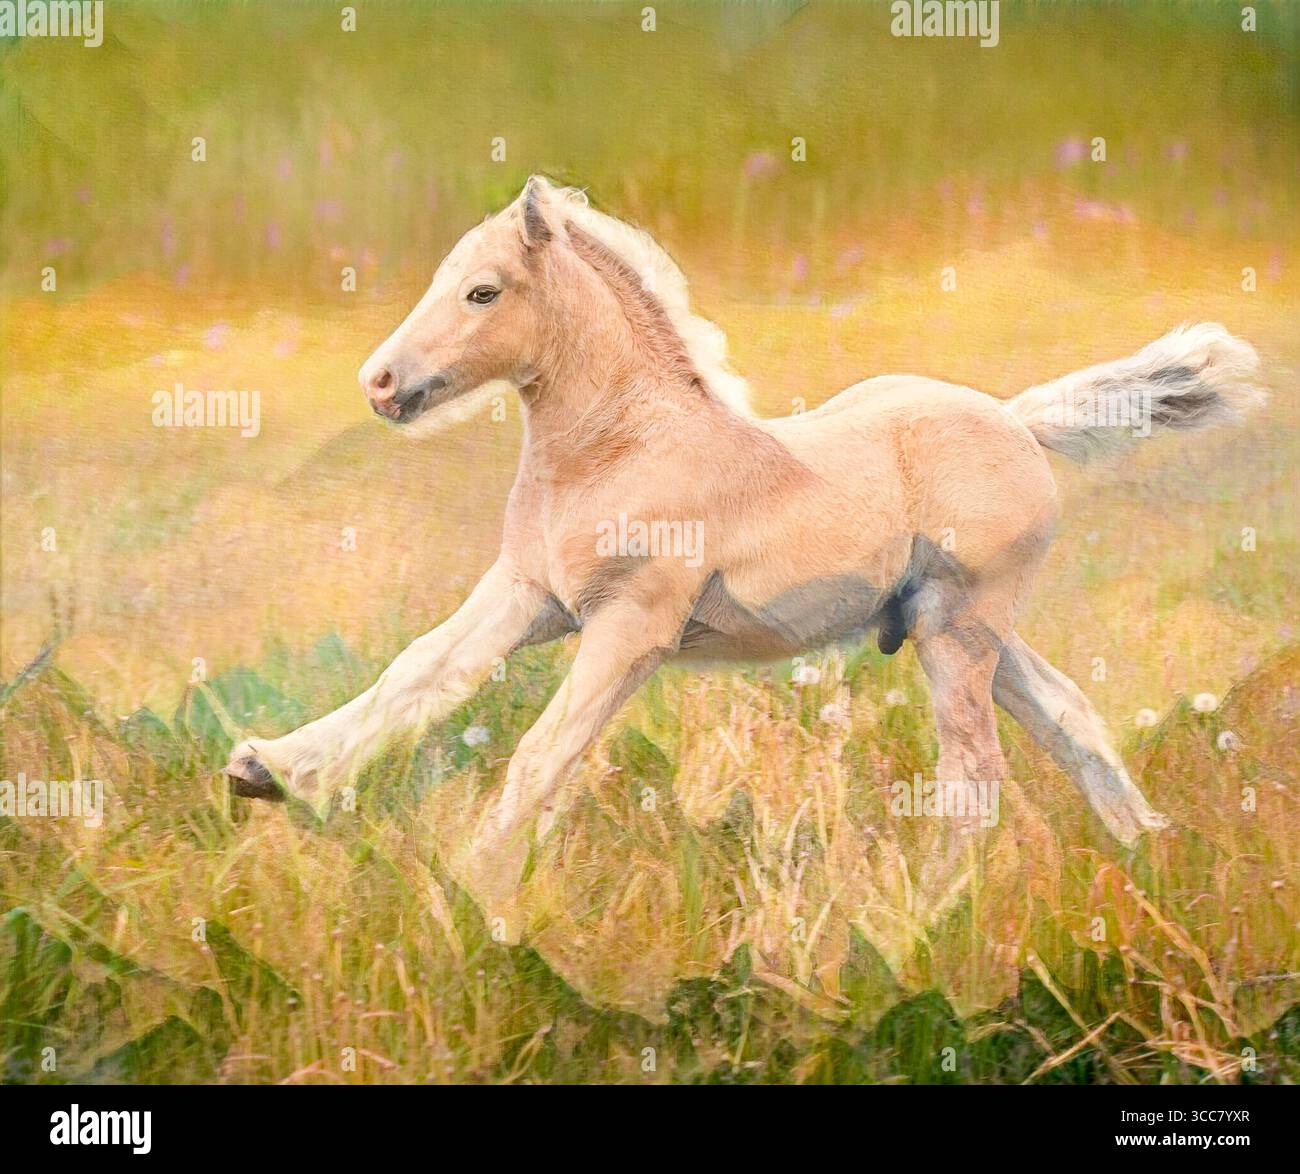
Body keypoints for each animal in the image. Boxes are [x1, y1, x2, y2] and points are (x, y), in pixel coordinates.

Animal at [225, 176, 1263, 917]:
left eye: (484, 290)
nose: (380, 384)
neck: (616, 448)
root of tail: (1016, 420)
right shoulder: (529, 594)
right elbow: (420, 672)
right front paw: (269, 771)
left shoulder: (629, 627)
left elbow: (542, 750)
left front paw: (470, 892)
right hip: (966, 628)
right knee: (1069, 715)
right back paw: (1148, 856)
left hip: (957, 630)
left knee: (974, 775)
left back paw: (918, 925)